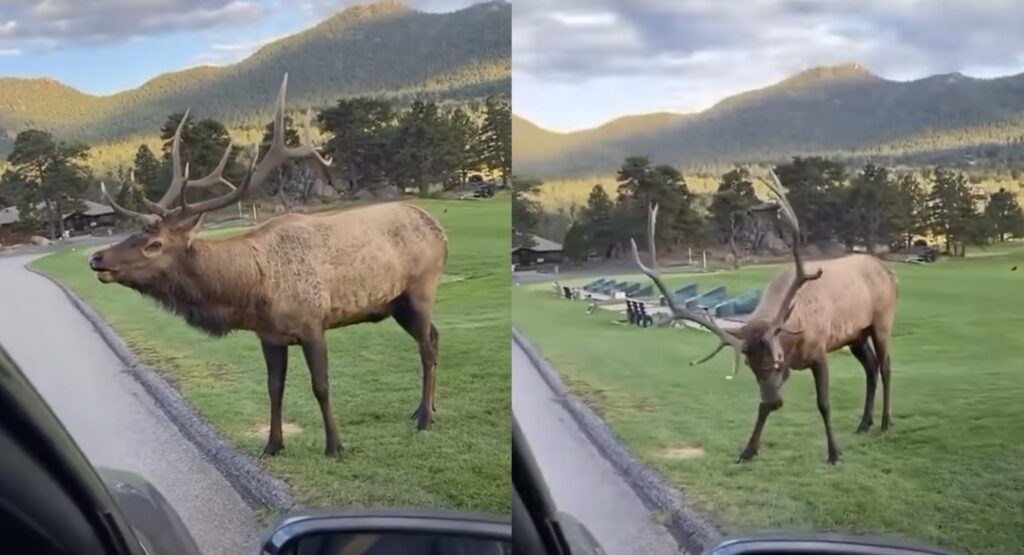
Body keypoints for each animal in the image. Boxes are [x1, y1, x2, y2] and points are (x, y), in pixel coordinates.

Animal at [88, 74, 448, 458]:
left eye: (154, 245)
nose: (97, 258)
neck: (251, 292)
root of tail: (440, 231)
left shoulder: (313, 324)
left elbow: (321, 386)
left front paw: (335, 446)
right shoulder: (269, 336)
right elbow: (274, 388)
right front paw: (273, 445)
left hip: (420, 289)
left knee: (426, 348)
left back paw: (425, 419)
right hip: (394, 304)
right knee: (434, 336)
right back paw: (425, 408)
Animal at [632, 171, 898, 464]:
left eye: (776, 362)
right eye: (751, 366)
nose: (776, 402)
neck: (794, 331)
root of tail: (889, 271)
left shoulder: (819, 353)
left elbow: (824, 403)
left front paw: (834, 453)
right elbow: (761, 408)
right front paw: (748, 450)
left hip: (882, 321)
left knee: (885, 366)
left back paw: (885, 422)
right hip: (855, 335)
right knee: (871, 368)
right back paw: (864, 422)